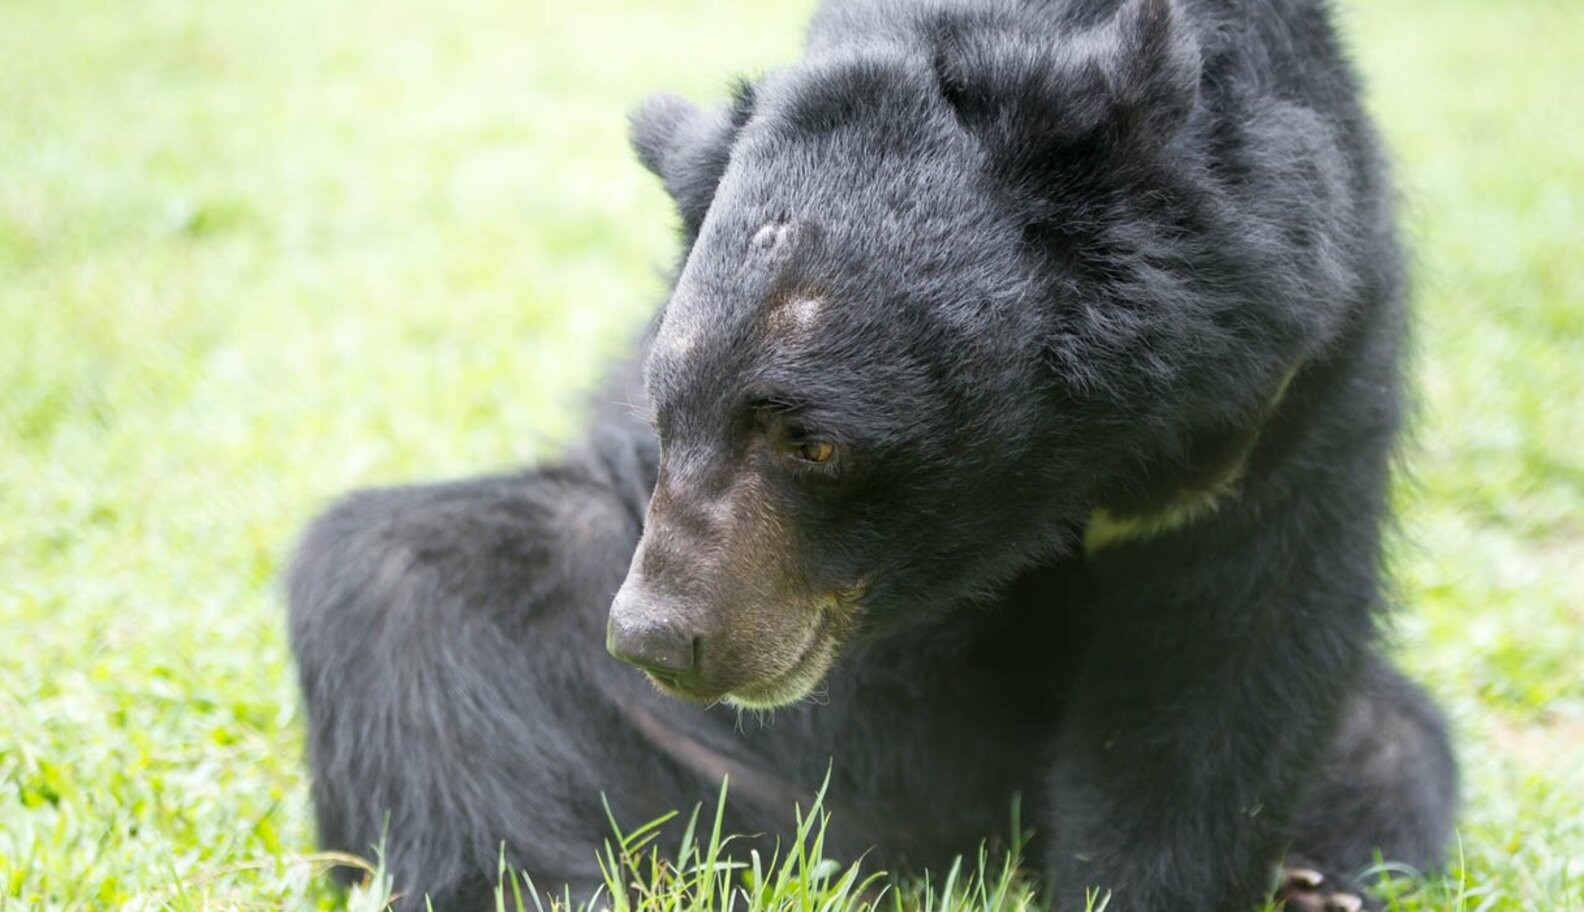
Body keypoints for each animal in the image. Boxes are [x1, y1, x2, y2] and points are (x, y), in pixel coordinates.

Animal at [286, 0, 1458, 909]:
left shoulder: (1286, 382)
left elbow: (1219, 673)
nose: (660, 640)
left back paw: (1317, 886)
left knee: (1393, 739)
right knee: (390, 589)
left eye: (814, 441)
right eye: (667, 418)